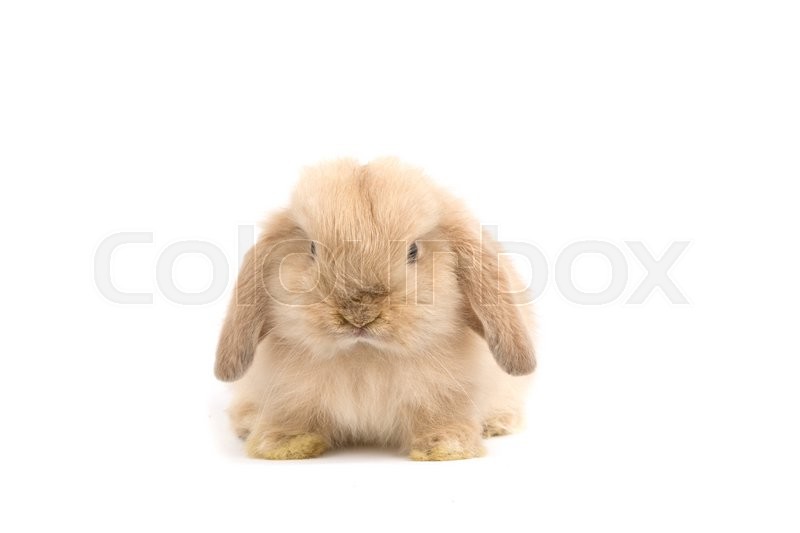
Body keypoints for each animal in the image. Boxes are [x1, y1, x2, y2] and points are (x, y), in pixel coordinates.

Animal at [215, 157, 536, 460]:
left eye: (413, 251)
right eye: (312, 250)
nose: (360, 314)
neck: (365, 356)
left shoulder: (446, 394)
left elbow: (441, 416)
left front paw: (446, 446)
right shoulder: (288, 394)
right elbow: (291, 417)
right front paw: (284, 445)